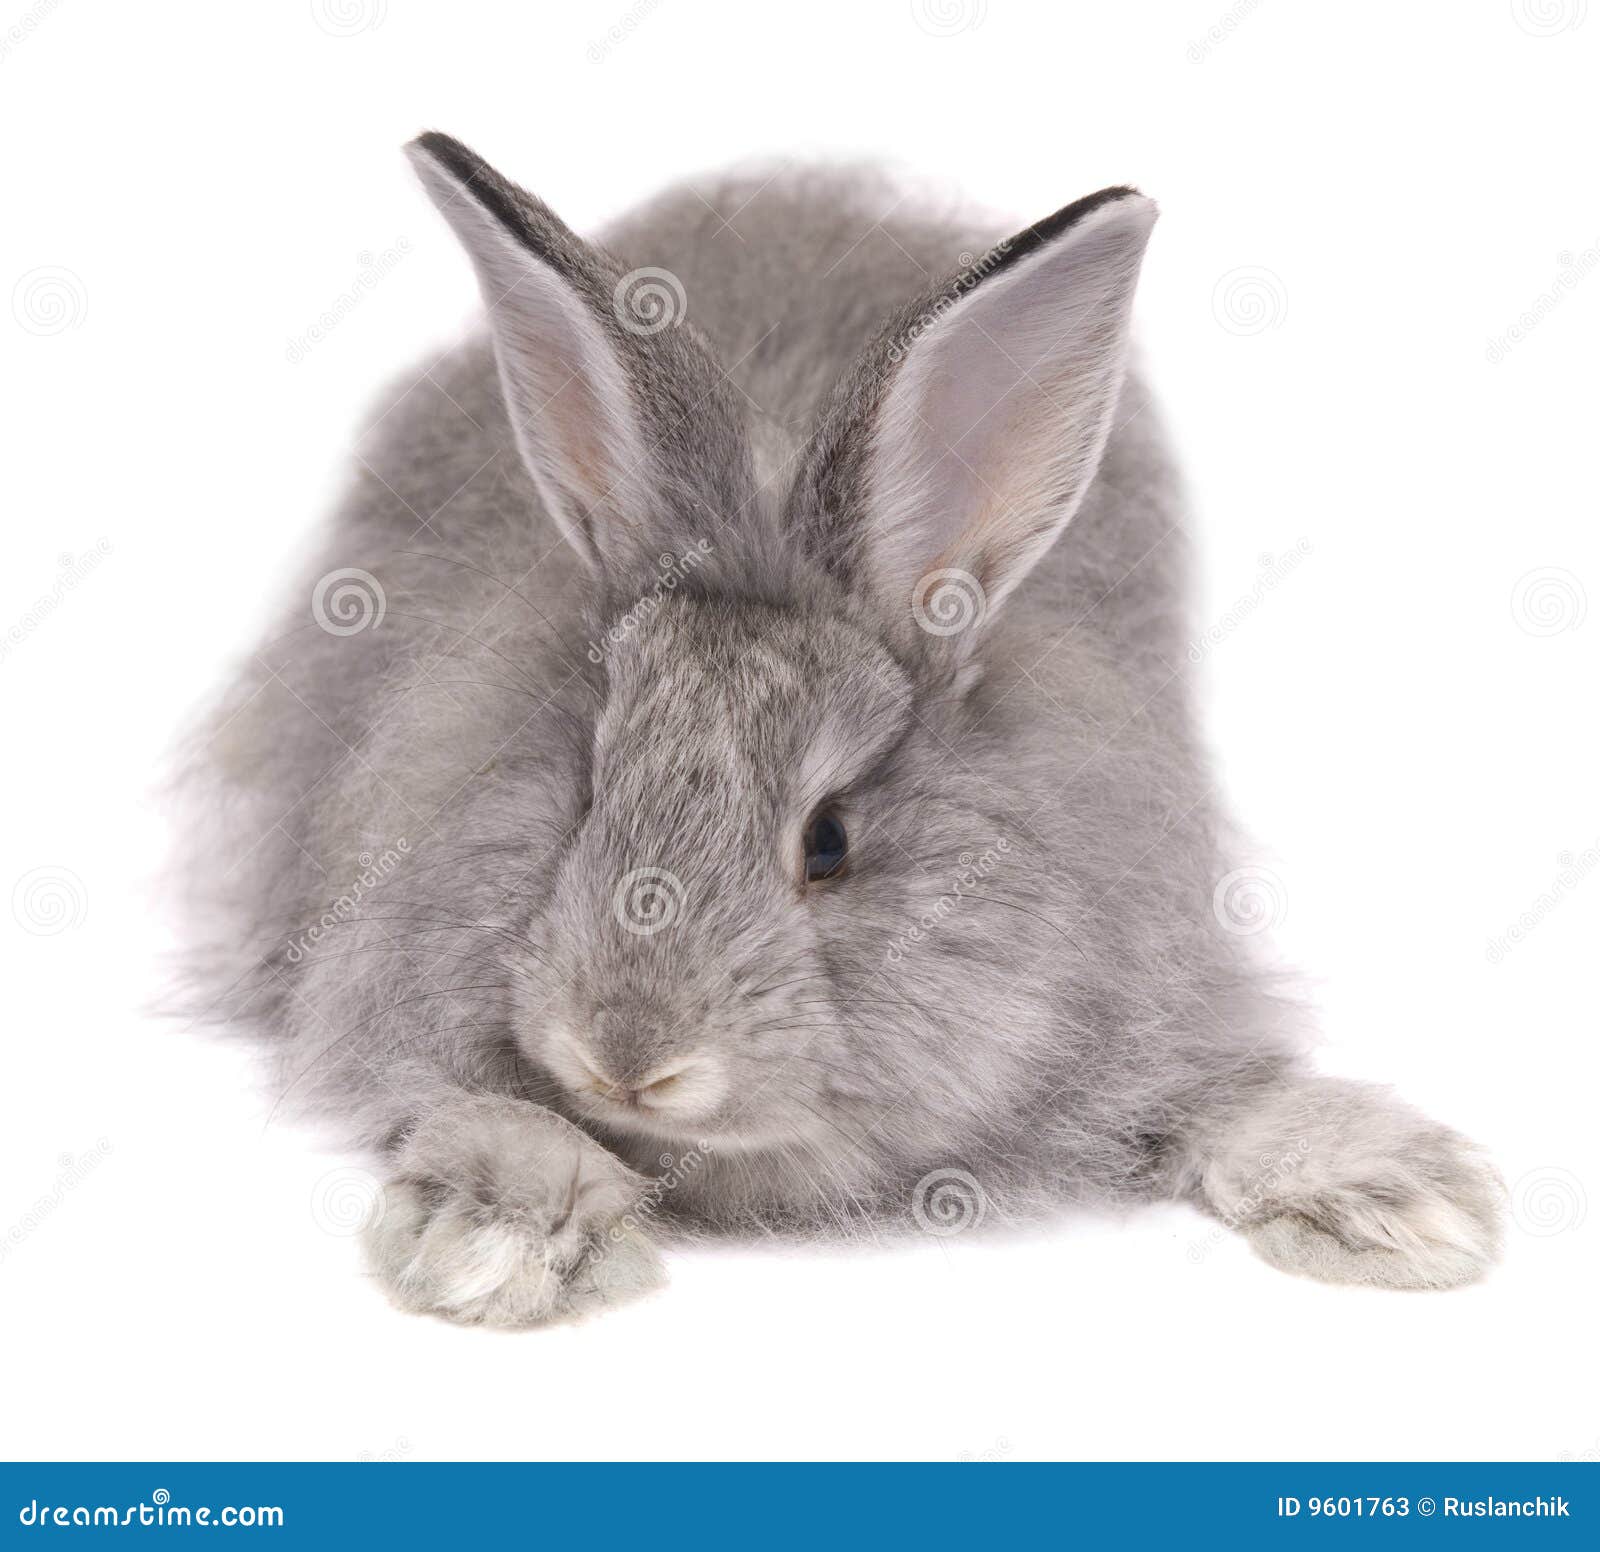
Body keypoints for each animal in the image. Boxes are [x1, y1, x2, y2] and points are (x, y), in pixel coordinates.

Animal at [175, 132, 1503, 1326]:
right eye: (584, 794)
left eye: (829, 843)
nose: (627, 1054)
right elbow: (484, 1113)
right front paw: (501, 1232)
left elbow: (1220, 1095)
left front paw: (1408, 1200)